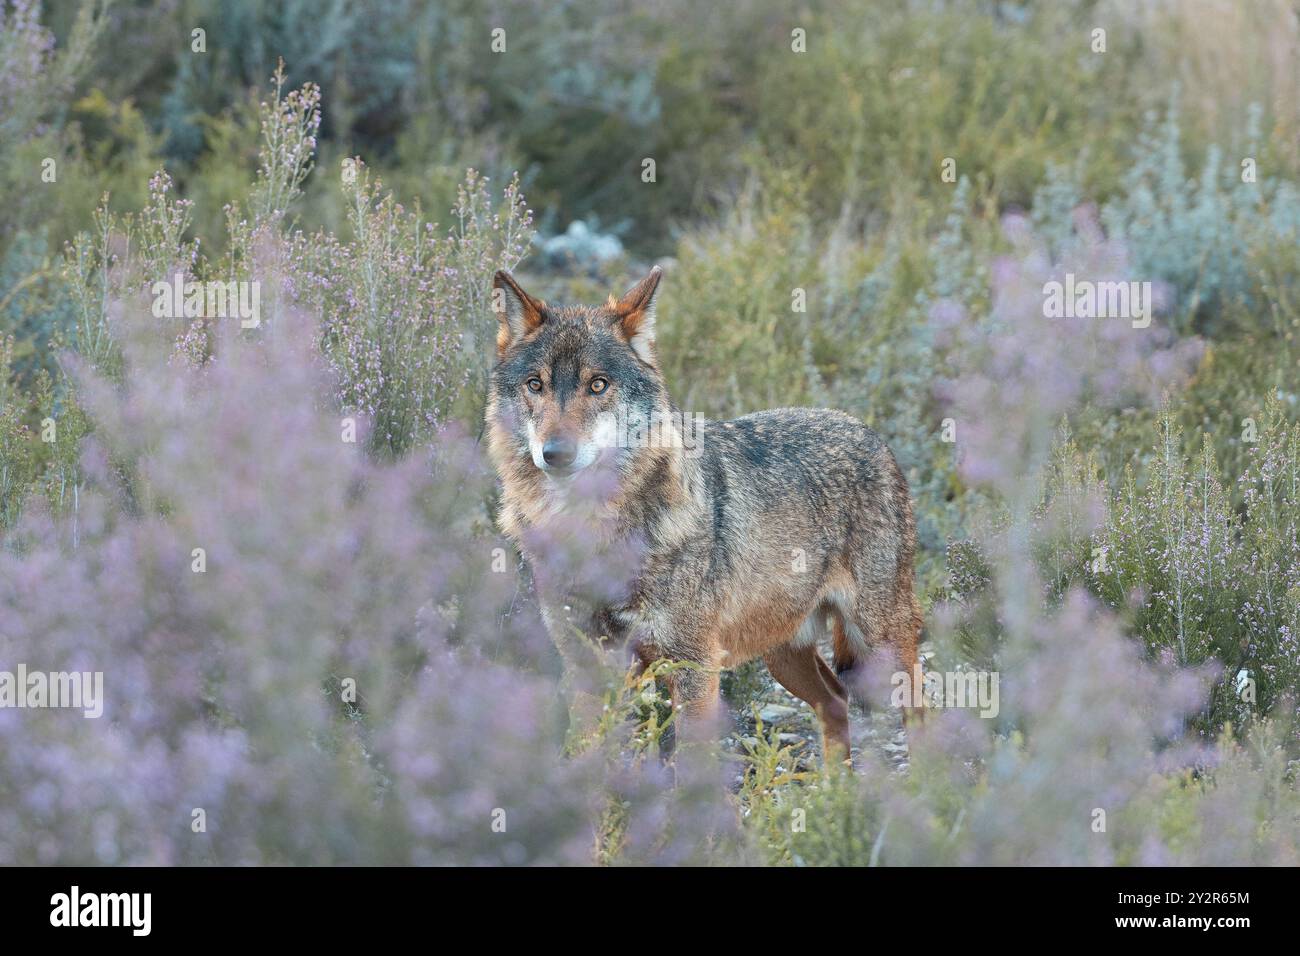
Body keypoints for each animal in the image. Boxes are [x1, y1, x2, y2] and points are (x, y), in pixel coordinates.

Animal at [486, 266, 922, 760]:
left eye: (598, 384)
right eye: (535, 385)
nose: (555, 453)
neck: (592, 534)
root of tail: (866, 429)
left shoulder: (693, 665)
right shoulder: (585, 664)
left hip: (880, 641)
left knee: (922, 711)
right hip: (783, 653)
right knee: (835, 699)